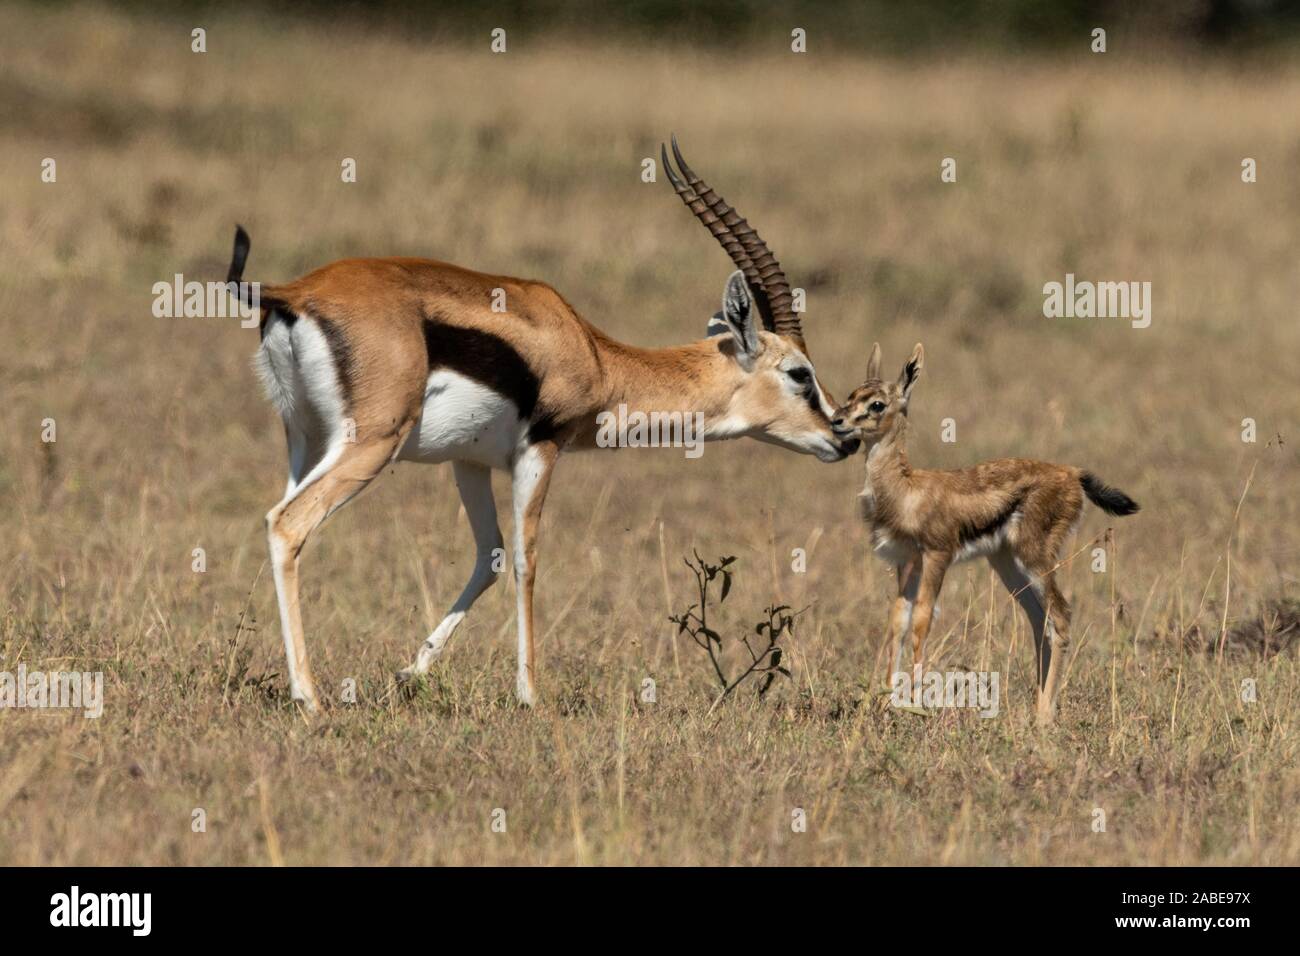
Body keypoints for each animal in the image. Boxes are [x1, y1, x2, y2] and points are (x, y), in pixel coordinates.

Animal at [229, 138, 858, 712]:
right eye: (800, 373)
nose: (843, 435)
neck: (595, 355)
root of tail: (293, 292)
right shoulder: (540, 449)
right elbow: (526, 559)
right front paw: (530, 695)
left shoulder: (469, 461)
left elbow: (489, 556)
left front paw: (412, 671)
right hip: (370, 445)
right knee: (288, 523)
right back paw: (310, 698)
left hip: (308, 442)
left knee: (281, 523)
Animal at [832, 343, 1139, 724]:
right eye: (852, 394)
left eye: (877, 404)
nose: (837, 421)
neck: (906, 490)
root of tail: (1072, 473)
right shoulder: (907, 562)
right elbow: (898, 623)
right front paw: (888, 702)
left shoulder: (937, 555)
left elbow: (922, 621)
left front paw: (916, 705)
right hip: (1007, 563)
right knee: (1040, 621)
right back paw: (1037, 709)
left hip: (1034, 559)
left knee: (1061, 616)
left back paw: (1043, 719)